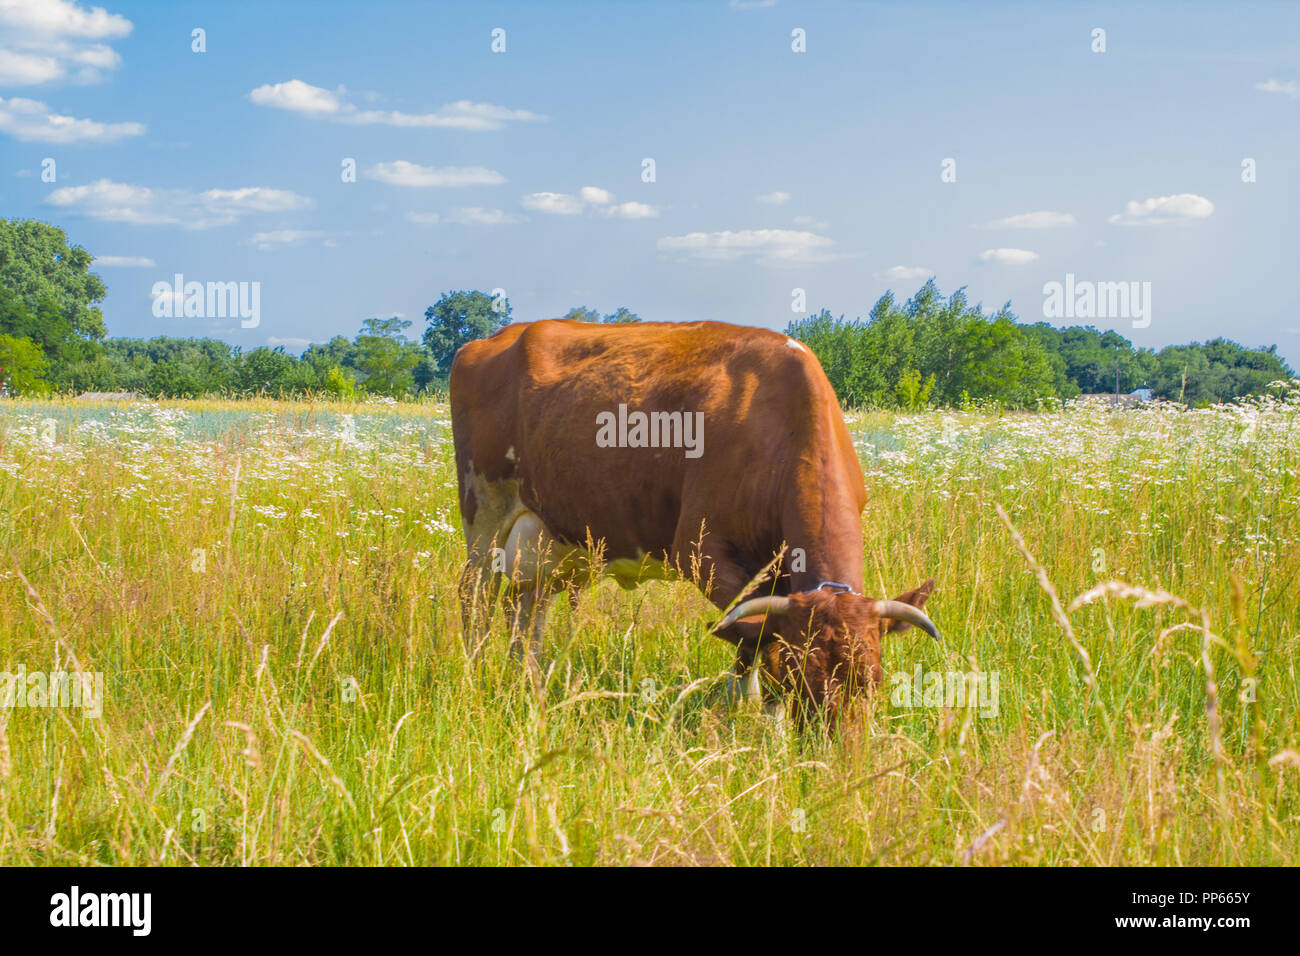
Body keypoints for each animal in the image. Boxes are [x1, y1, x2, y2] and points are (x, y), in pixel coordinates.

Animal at [450, 318, 939, 721]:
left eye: (872, 682)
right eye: (800, 676)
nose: (838, 751)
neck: (783, 426)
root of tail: (497, 337)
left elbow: (752, 631)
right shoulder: (698, 551)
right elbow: (751, 633)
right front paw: (756, 713)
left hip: (550, 540)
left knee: (526, 608)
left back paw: (527, 684)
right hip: (484, 513)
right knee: (475, 596)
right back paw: (474, 678)